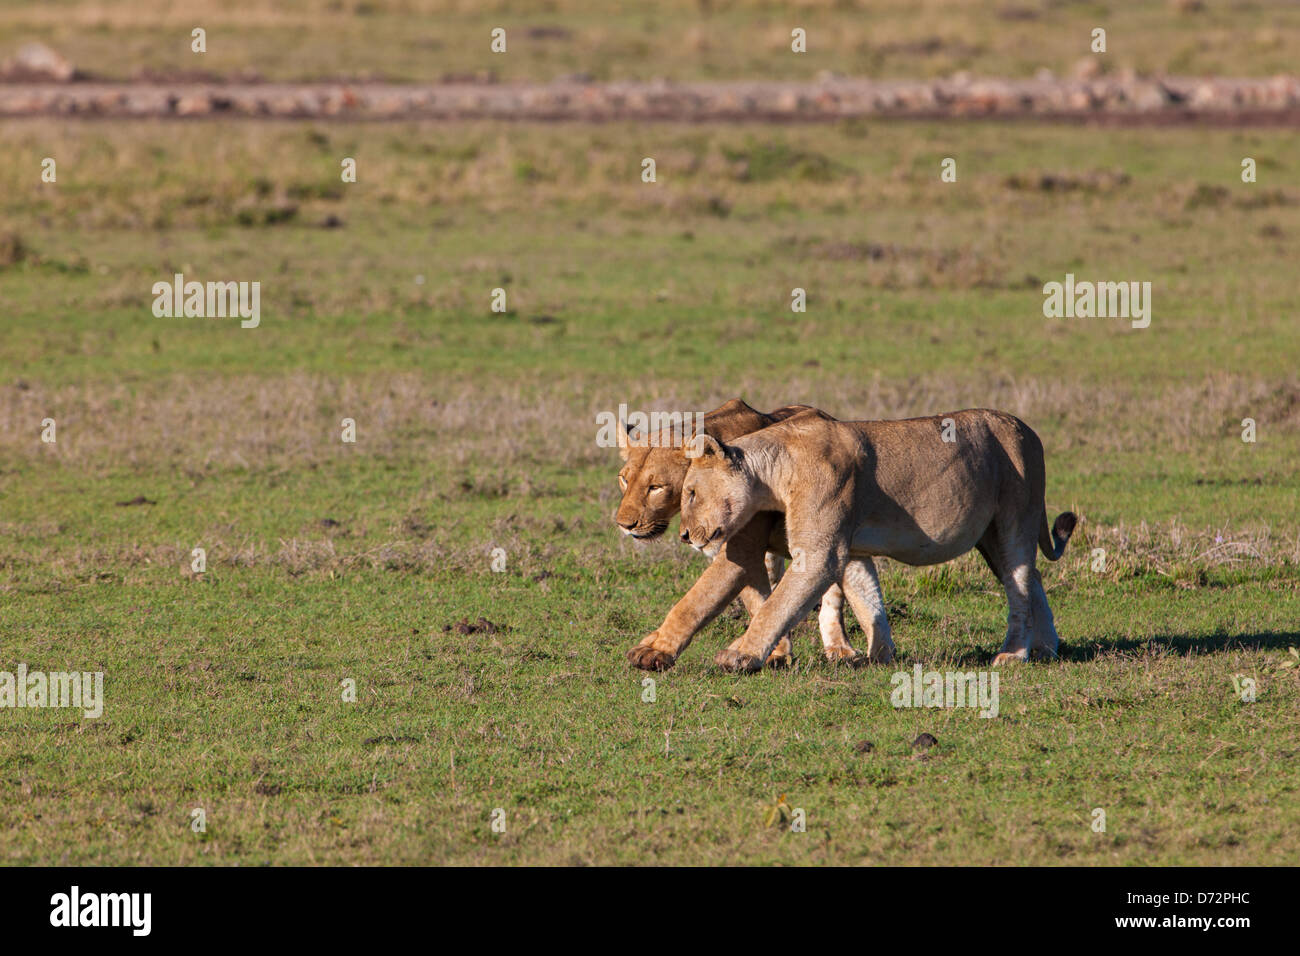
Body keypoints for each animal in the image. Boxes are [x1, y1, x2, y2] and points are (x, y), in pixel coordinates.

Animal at [615, 399, 895, 671]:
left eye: (656, 487)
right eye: (624, 480)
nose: (624, 525)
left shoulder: (742, 549)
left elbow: (694, 602)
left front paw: (656, 651)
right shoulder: (743, 552)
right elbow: (758, 600)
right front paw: (773, 652)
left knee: (833, 592)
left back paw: (841, 649)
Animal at [679, 408, 1077, 672]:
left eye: (691, 492)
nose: (683, 535)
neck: (774, 470)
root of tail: (1027, 429)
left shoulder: (820, 553)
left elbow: (777, 607)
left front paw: (739, 655)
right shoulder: (851, 548)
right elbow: (867, 598)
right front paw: (879, 655)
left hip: (1015, 520)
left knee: (1019, 586)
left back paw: (1014, 654)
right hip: (989, 536)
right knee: (1032, 580)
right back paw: (1046, 649)